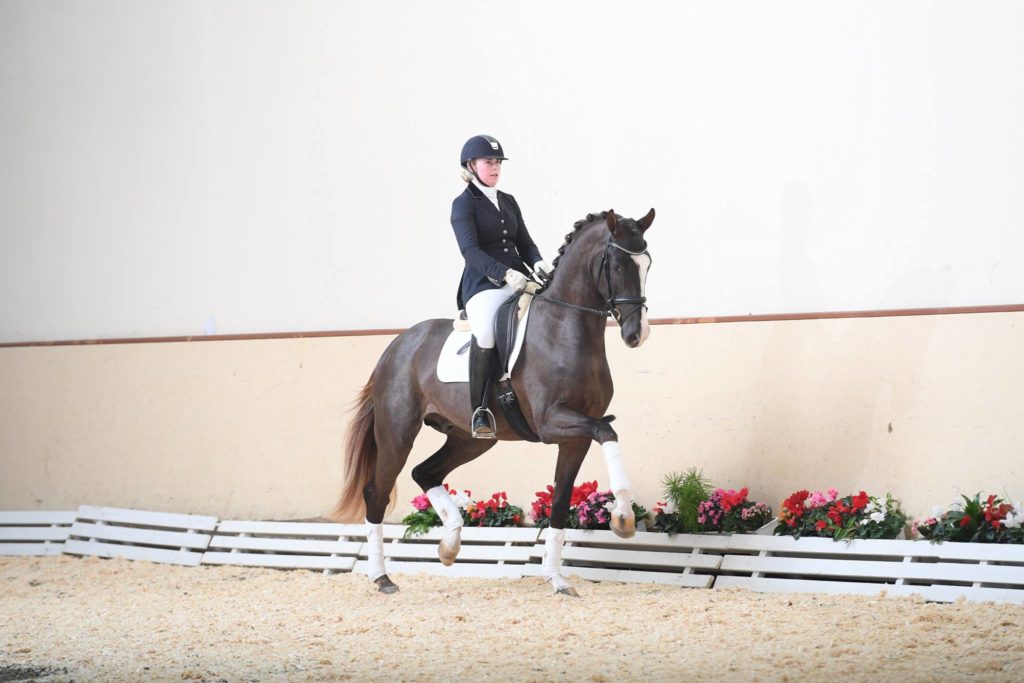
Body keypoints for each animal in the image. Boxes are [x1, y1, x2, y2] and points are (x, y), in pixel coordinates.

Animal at [333, 208, 655, 595]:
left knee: (424, 471)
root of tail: (396, 346)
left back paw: (449, 545)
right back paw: (382, 577)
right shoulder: (552, 422)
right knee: (377, 493)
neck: (565, 329)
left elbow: (562, 500)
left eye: (648, 264)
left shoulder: (576, 437)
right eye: (619, 265)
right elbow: (608, 434)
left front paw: (556, 577)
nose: (637, 334)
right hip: (397, 433)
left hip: (470, 438)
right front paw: (623, 518)